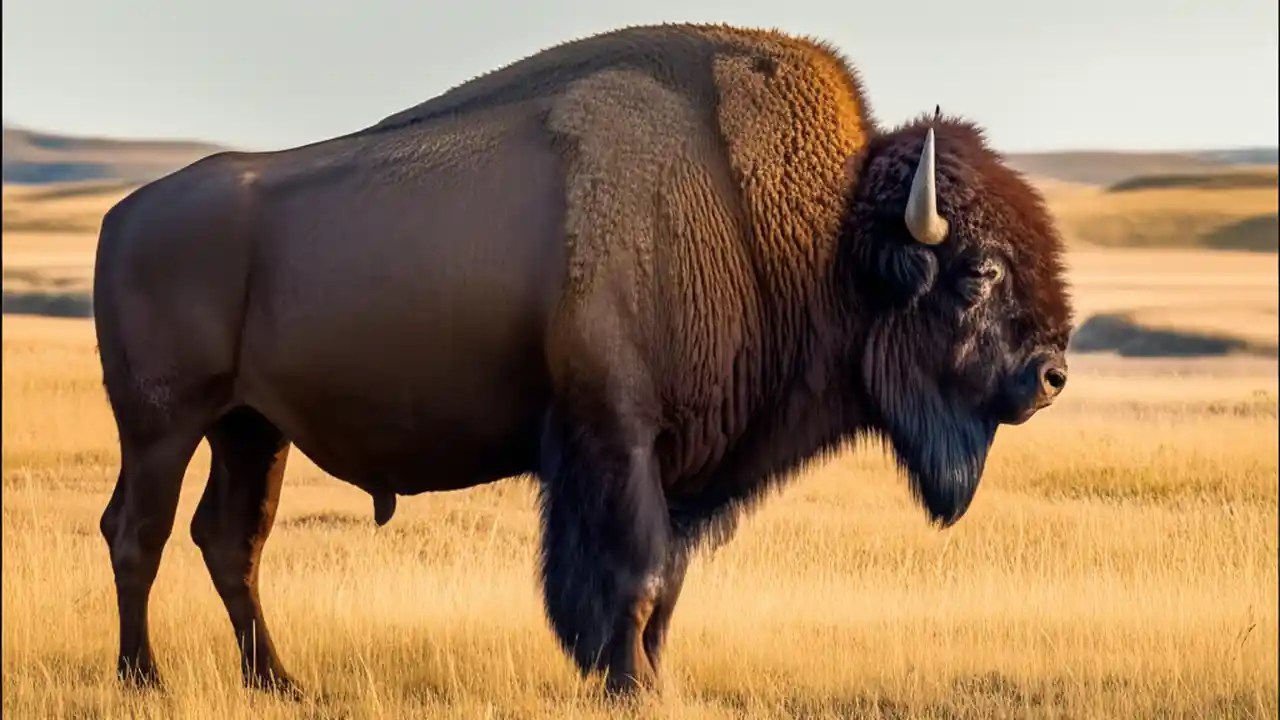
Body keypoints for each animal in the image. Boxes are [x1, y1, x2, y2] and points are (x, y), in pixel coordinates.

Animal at [94, 23, 1072, 696]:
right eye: (980, 270)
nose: (1051, 375)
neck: (802, 236)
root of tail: (124, 214)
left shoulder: (678, 471)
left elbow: (666, 587)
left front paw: (648, 679)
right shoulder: (618, 440)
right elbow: (633, 576)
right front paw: (629, 684)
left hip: (251, 431)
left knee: (232, 541)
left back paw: (280, 682)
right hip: (163, 426)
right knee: (139, 532)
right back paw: (145, 679)